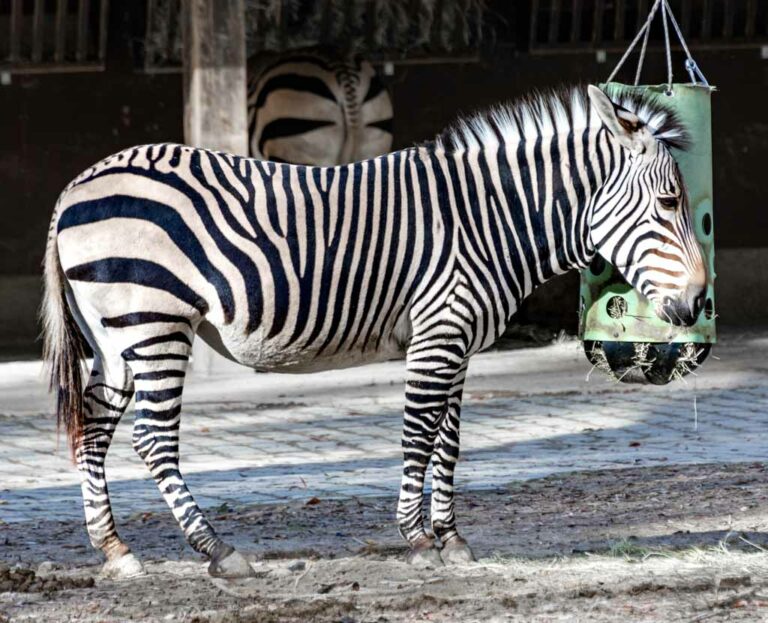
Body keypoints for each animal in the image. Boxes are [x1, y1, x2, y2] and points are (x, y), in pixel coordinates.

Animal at [43, 84, 706, 578]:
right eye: (670, 203)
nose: (699, 302)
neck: (490, 218)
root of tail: (75, 185)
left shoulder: (460, 341)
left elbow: (449, 442)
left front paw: (452, 538)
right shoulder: (437, 333)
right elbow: (417, 434)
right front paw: (418, 540)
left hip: (115, 339)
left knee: (92, 431)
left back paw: (116, 552)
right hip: (155, 324)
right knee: (152, 439)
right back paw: (218, 551)